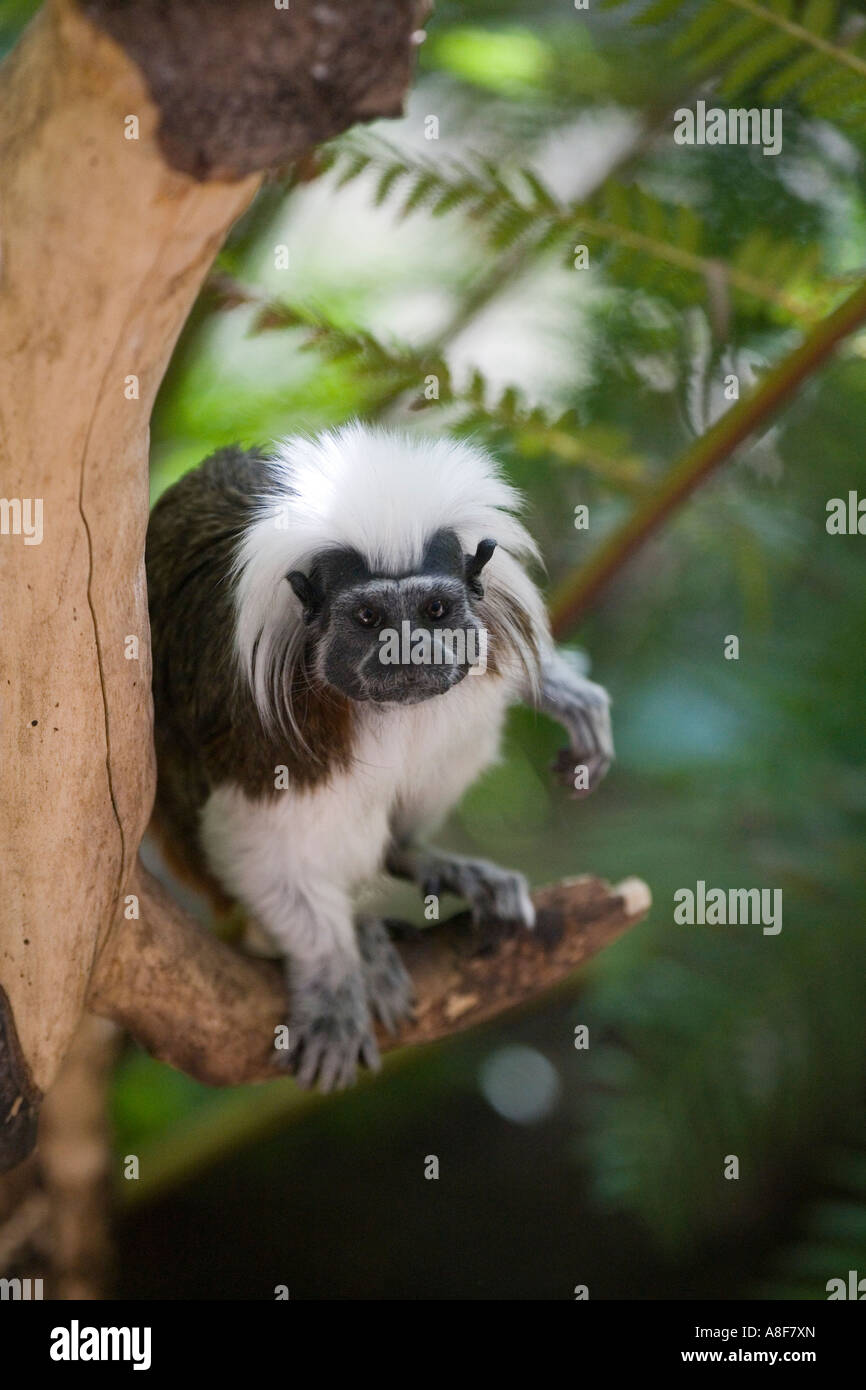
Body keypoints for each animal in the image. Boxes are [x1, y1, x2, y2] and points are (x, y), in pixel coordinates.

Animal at [145, 422, 613, 1092]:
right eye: (369, 619)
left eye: (434, 612)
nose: (407, 651)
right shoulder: (260, 722)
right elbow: (255, 840)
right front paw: (333, 974)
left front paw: (564, 689)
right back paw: (357, 936)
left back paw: (418, 855)